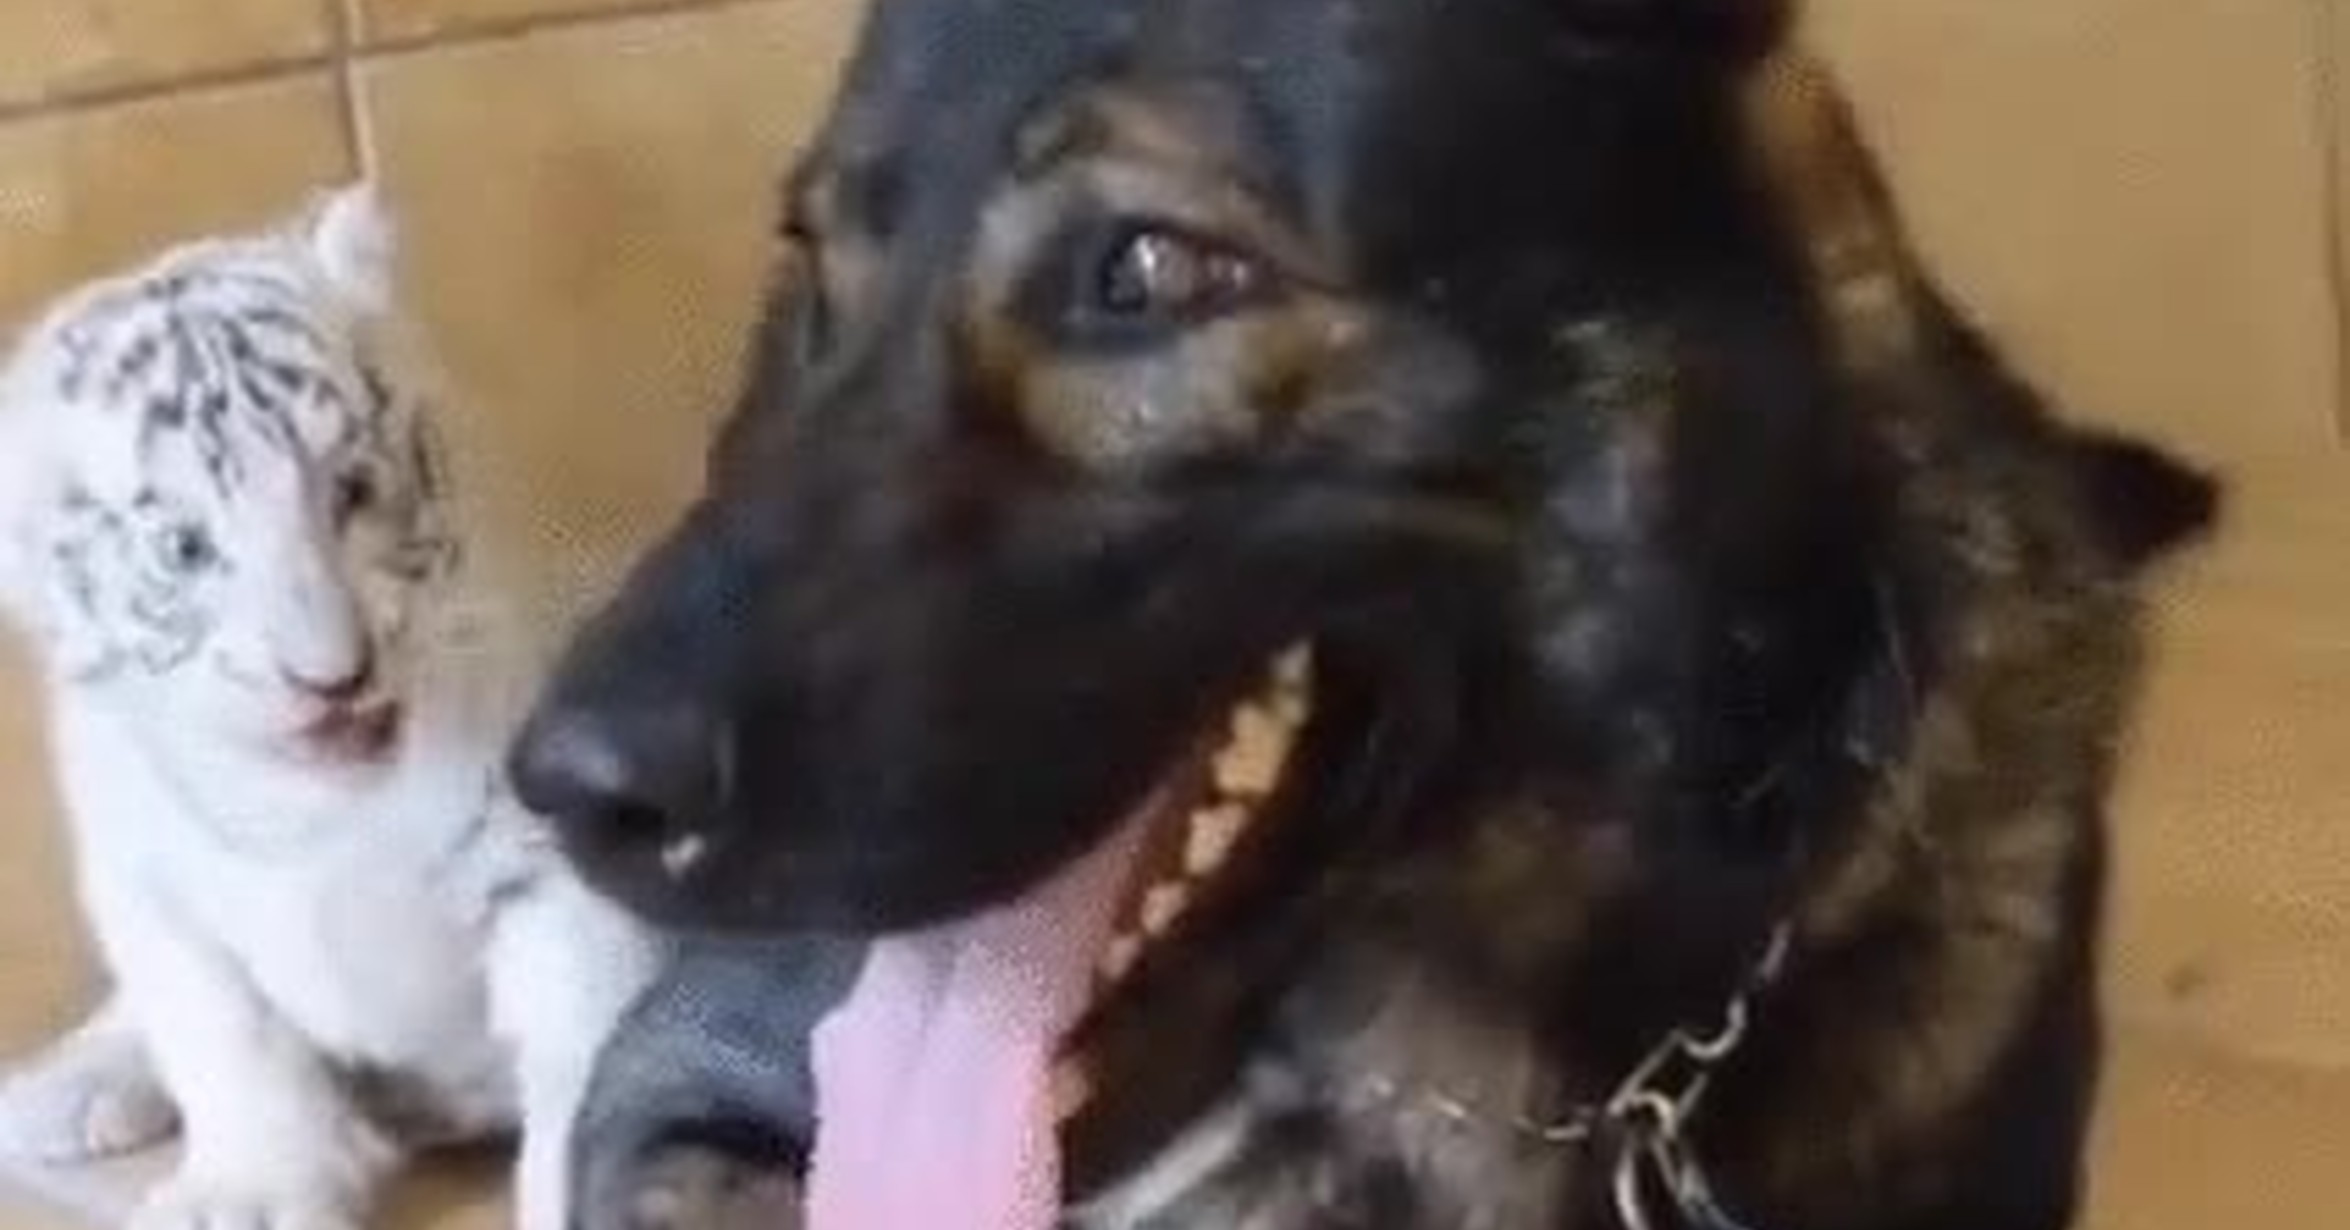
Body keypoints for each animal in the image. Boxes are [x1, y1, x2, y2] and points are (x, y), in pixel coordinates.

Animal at [0, 185, 662, 1230]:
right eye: (185, 549)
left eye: (351, 489)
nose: (333, 677)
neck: (312, 818)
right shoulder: (143, 879)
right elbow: (221, 1037)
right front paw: (249, 1191)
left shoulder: (562, 874)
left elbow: (585, 1065)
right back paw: (63, 1093)